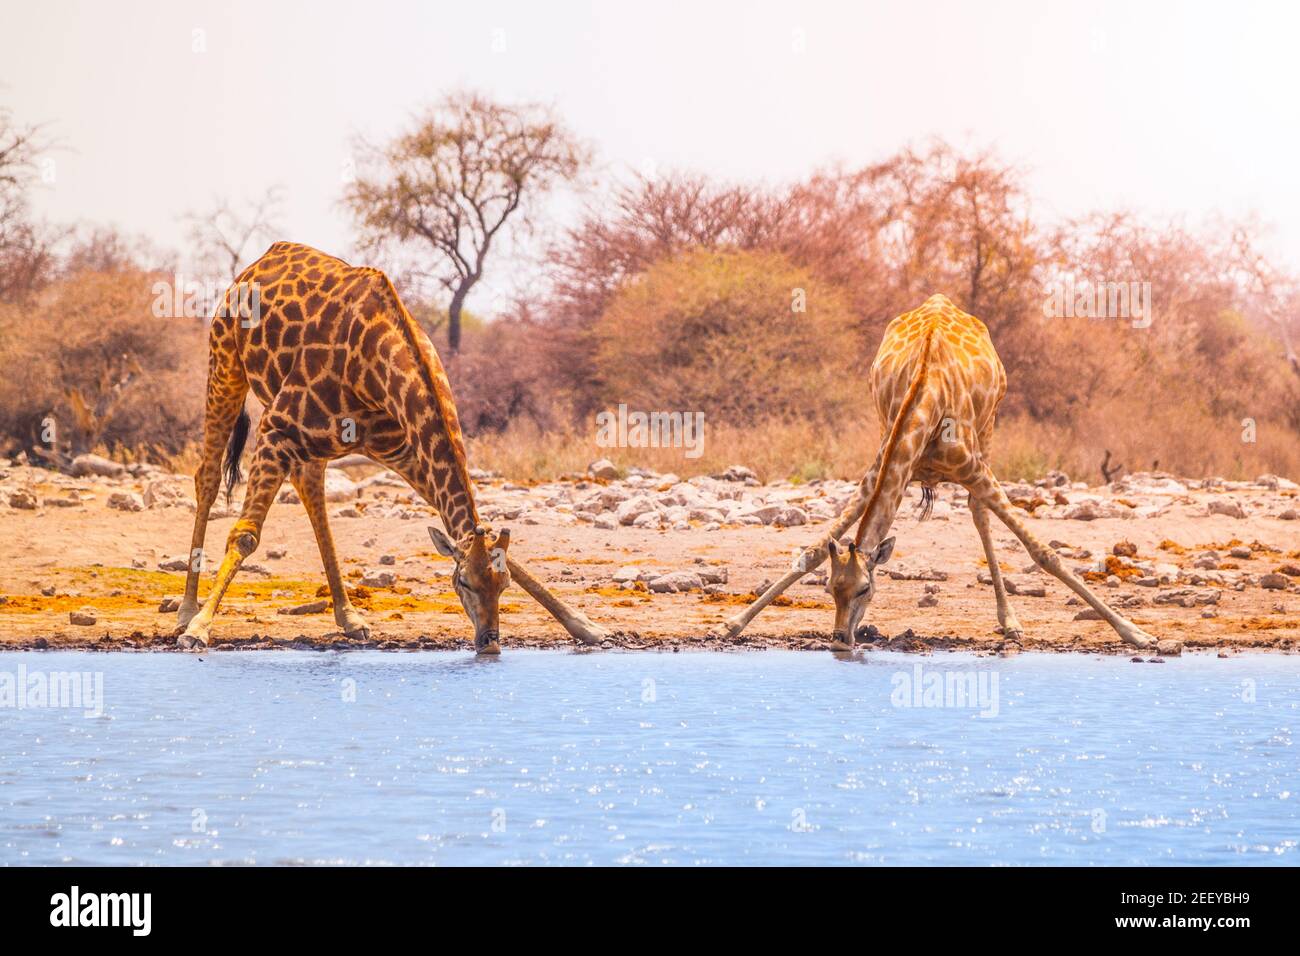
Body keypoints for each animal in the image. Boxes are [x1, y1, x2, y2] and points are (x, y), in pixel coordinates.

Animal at [173, 241, 607, 654]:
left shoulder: (406, 450)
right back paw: (186, 611)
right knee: (207, 477)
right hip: (225, 366)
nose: (490, 641)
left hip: (311, 443)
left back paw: (349, 617)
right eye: (463, 582)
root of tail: (258, 262)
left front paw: (586, 626)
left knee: (311, 490)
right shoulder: (275, 430)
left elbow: (504, 553)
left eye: (503, 587)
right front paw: (199, 629)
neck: (376, 368)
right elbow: (245, 535)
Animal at [712, 293, 1157, 650]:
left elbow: (1043, 552)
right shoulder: (877, 471)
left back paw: (1011, 622)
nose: (839, 640)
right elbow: (813, 549)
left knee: (980, 515)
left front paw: (1136, 633)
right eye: (830, 588)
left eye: (865, 588)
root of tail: (941, 300)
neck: (926, 399)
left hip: (989, 431)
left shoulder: (973, 467)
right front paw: (732, 623)